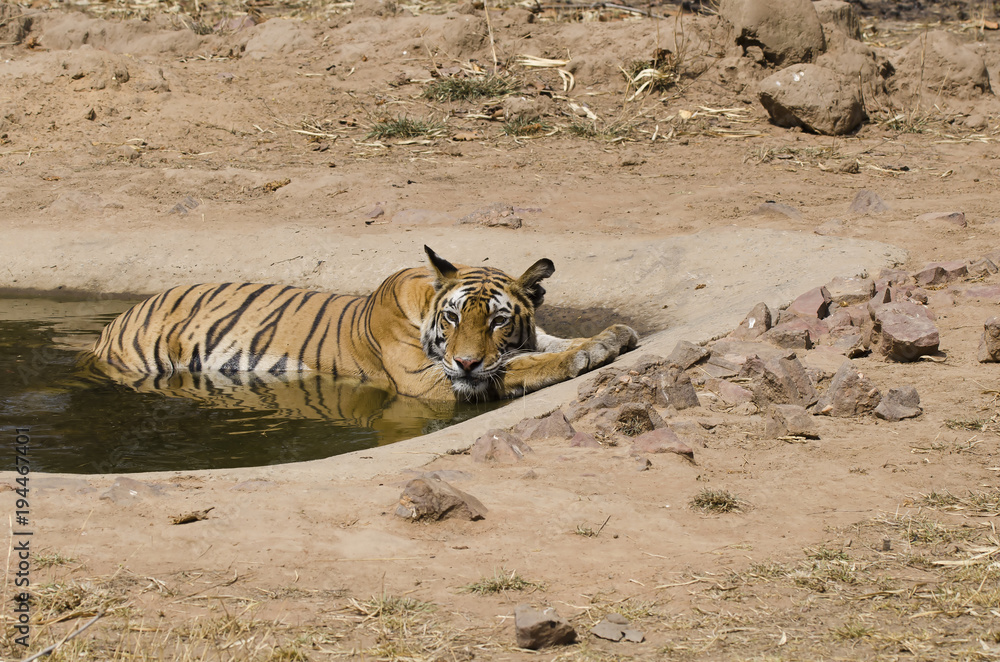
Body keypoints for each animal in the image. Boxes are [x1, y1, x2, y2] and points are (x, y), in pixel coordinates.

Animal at [87, 246, 639, 401]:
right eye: (452, 316)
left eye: (500, 321)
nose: (465, 360)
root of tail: (115, 322)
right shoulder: (430, 382)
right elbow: (524, 366)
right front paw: (590, 353)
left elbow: (546, 344)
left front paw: (613, 335)